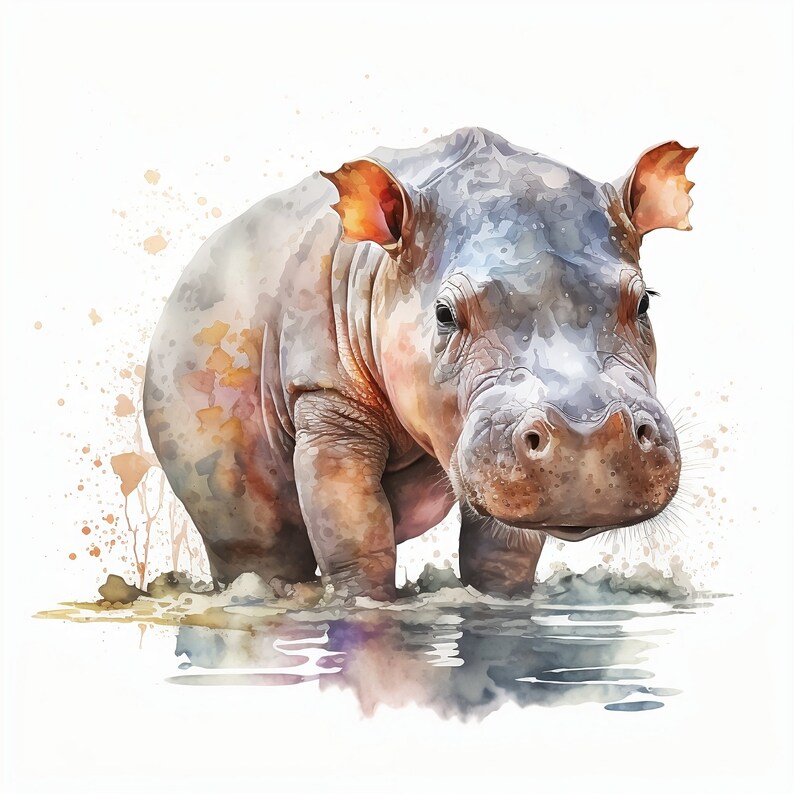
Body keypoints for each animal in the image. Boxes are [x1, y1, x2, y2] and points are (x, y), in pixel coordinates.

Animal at [144, 127, 697, 601]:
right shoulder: (327, 394)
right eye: (444, 313)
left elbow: (502, 552)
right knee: (256, 542)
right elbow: (357, 534)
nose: (589, 439)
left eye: (644, 302)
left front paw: (500, 605)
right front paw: (366, 610)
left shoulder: (488, 439)